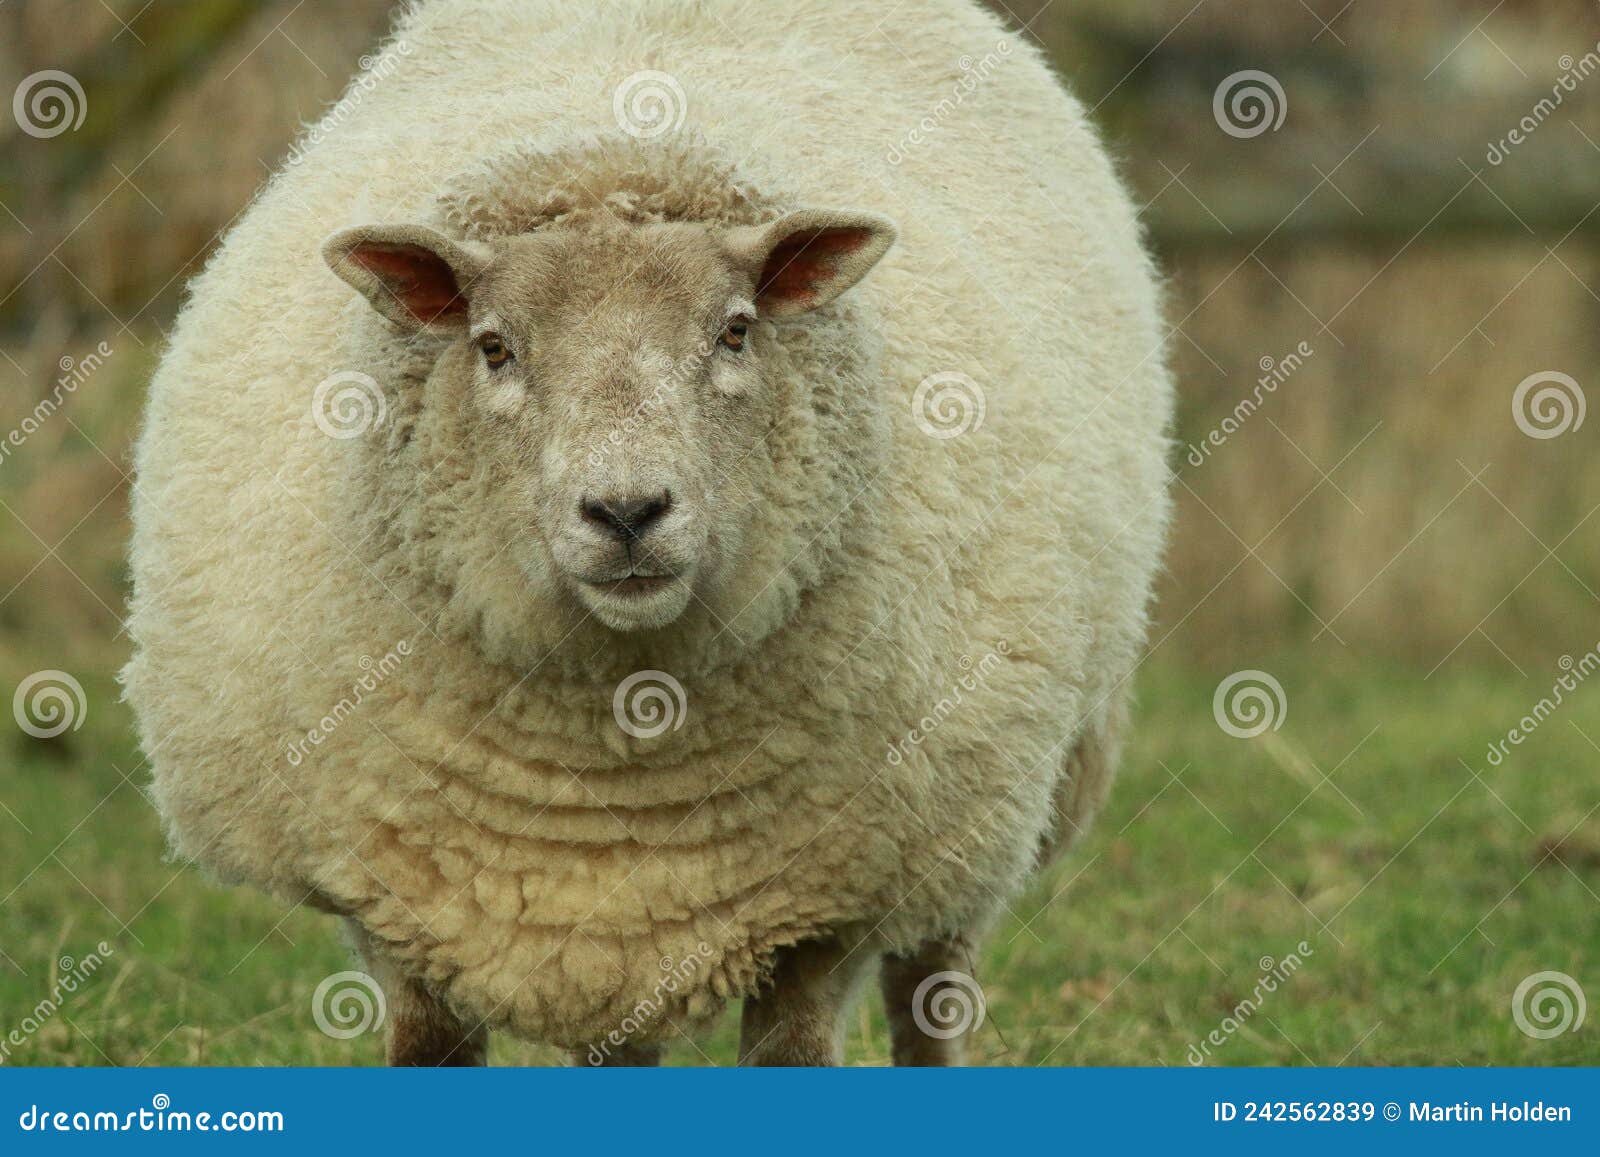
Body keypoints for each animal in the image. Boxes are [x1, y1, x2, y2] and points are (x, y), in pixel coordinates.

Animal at [123, 0, 1173, 1066]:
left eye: (737, 330)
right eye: (493, 347)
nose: (627, 512)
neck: (619, 729)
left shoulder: (827, 904)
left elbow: (795, 1050)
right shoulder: (399, 902)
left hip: (975, 812)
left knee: (932, 985)